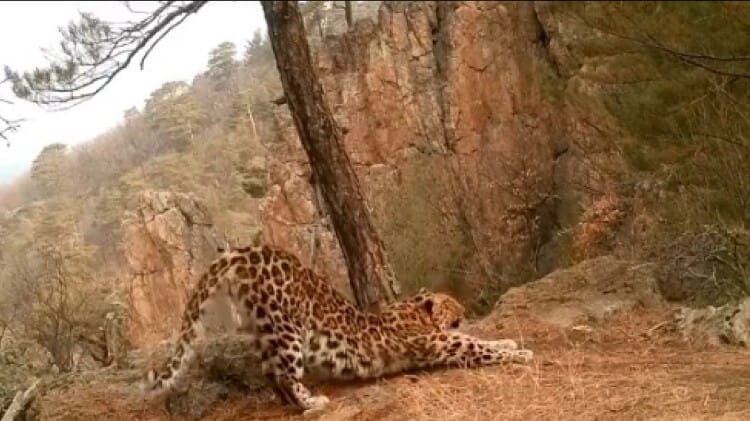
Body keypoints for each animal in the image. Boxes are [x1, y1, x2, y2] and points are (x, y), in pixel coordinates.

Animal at [140, 244, 533, 414]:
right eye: (452, 305)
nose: (464, 309)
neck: (414, 312)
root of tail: (243, 251)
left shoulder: (442, 338)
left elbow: (477, 338)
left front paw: (510, 341)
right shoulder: (437, 344)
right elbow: (475, 345)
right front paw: (521, 351)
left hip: (261, 326)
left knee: (269, 372)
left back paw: (293, 406)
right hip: (286, 330)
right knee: (285, 373)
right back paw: (313, 402)